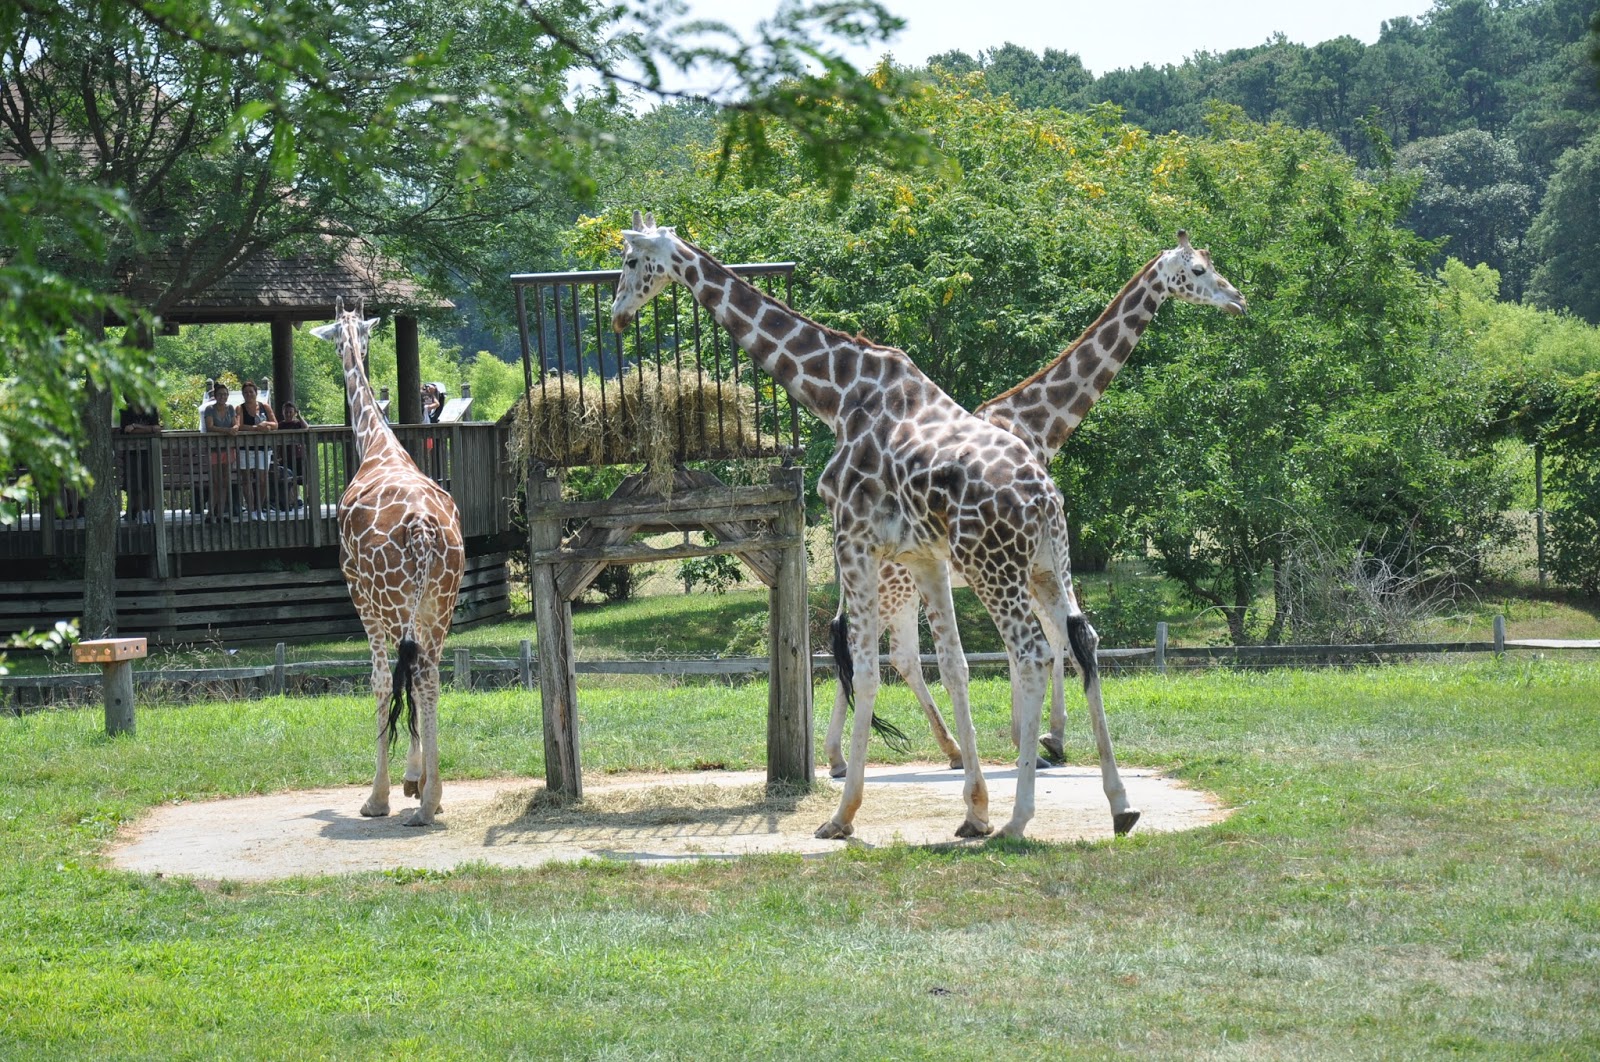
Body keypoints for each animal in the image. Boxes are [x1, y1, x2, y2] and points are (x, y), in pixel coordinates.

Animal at [309, 298, 465, 827]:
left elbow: (379, 682)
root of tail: (422, 530)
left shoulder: (359, 594)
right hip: (441, 603)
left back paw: (414, 799)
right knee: (430, 676)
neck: (376, 445)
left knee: (409, 676)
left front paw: (379, 795)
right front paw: (415, 781)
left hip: (392, 601)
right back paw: (432, 798)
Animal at [611, 212, 1139, 840]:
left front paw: (842, 817)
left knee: (1033, 654)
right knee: (1083, 640)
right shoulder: (923, 558)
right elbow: (953, 667)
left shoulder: (854, 539)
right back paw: (1120, 805)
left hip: (993, 567)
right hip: (1045, 565)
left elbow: (865, 670)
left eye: (629, 261)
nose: (617, 313)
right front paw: (973, 811)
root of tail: (1044, 497)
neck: (835, 394)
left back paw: (1019, 819)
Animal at [825, 233, 1245, 777]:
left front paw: (1040, 737)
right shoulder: (1025, 559)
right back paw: (872, 755)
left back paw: (892, 754)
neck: (1036, 426)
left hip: (900, 582)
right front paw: (1043, 739)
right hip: (895, 582)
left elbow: (1054, 636)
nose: (1237, 300)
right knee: (882, 650)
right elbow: (1052, 638)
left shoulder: (1030, 561)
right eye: (1197, 270)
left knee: (879, 649)